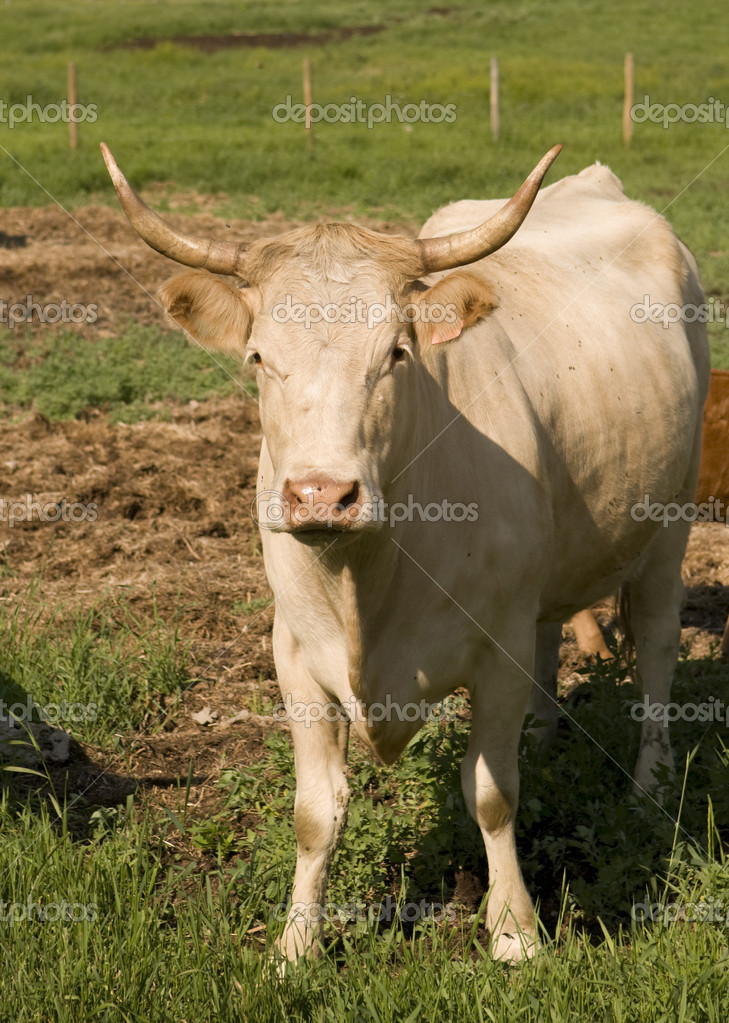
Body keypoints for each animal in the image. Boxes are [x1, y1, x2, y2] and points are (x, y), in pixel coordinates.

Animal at [101, 142, 709, 964]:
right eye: (258, 356)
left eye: (394, 352)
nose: (321, 494)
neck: (365, 579)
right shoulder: (295, 657)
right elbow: (315, 812)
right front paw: (295, 946)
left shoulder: (496, 650)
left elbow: (492, 793)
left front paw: (515, 932)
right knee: (554, 630)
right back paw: (546, 735)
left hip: (667, 525)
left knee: (654, 644)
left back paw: (648, 785)